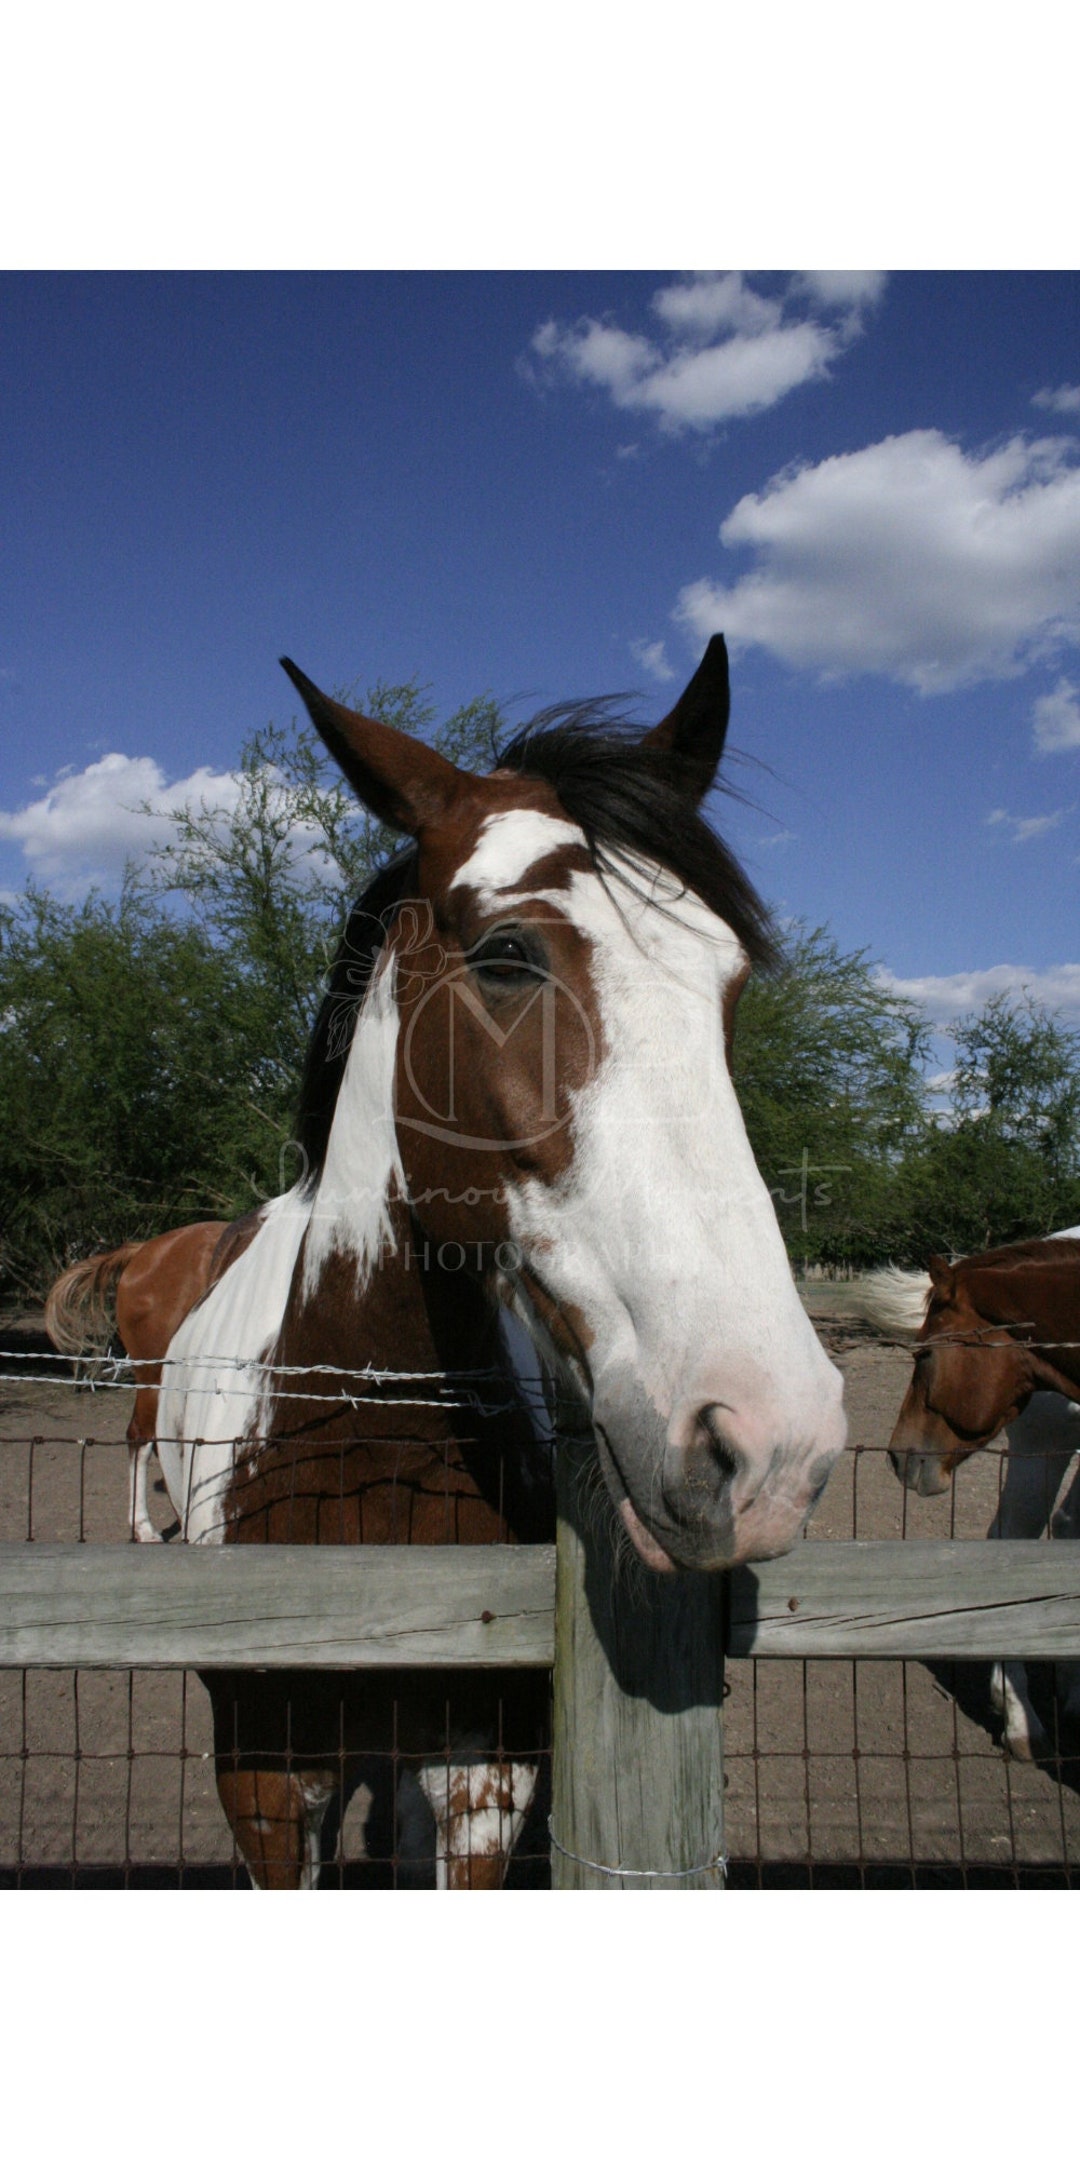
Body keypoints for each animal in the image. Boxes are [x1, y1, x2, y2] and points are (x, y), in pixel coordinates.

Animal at [151, 634, 847, 1887]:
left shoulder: (485, 1781)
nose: (773, 1441)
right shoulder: (264, 1788)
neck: (359, 1466)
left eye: (729, 978)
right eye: (509, 955)